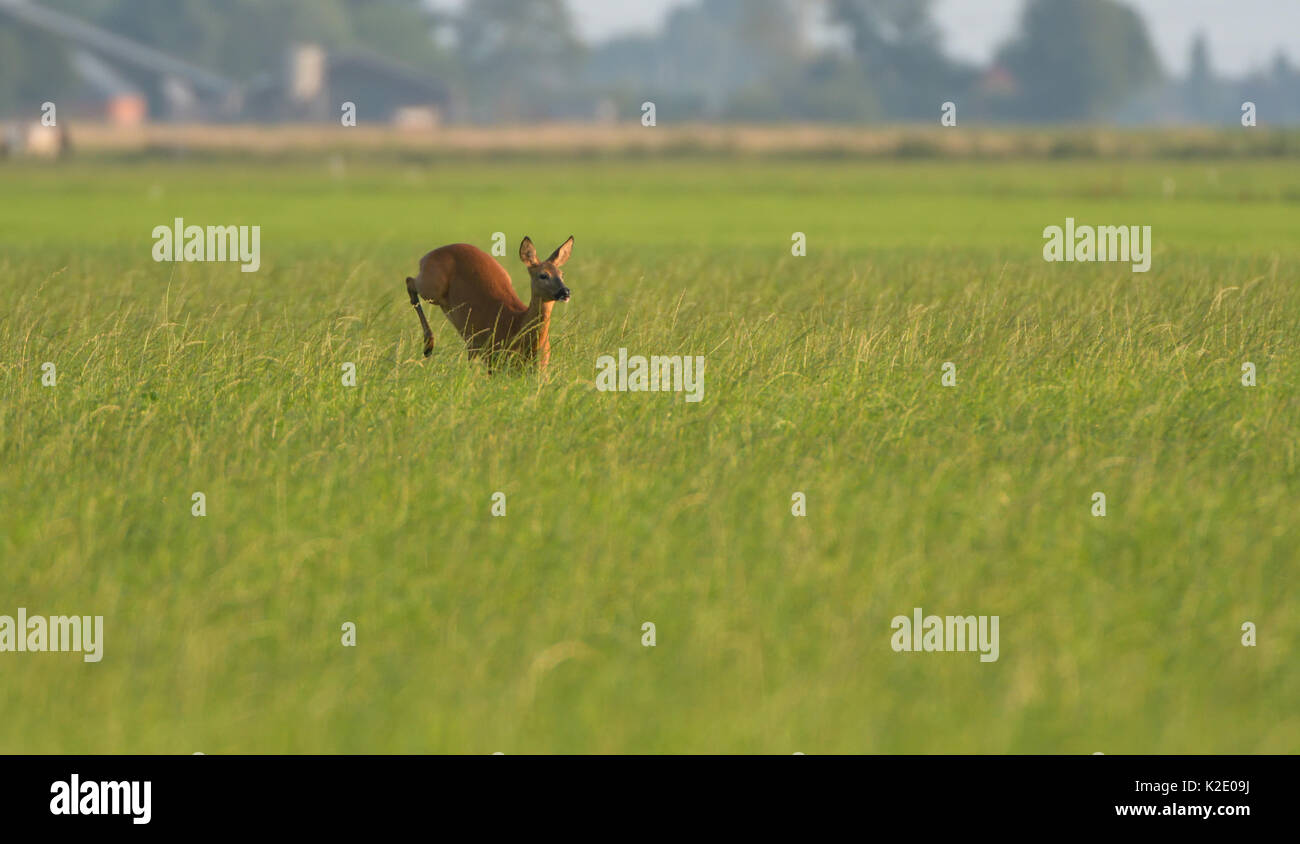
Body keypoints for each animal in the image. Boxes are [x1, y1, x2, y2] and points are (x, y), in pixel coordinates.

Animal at [406, 236, 573, 370]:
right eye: (543, 275)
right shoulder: (493, 356)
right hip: (432, 287)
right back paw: (428, 345)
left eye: (562, 274)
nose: (565, 292)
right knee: (410, 281)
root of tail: (427, 256)